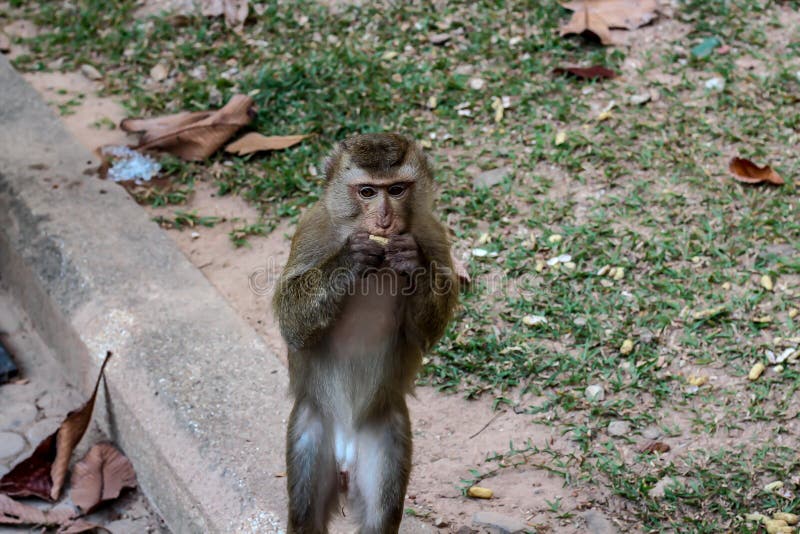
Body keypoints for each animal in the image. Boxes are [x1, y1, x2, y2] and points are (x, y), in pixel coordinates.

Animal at [272, 133, 459, 534]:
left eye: (398, 189)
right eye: (368, 191)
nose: (385, 220)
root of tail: (346, 446)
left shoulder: (433, 235)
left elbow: (427, 334)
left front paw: (413, 264)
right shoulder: (312, 231)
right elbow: (292, 322)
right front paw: (350, 259)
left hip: (385, 433)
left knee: (379, 517)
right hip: (312, 426)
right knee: (305, 515)